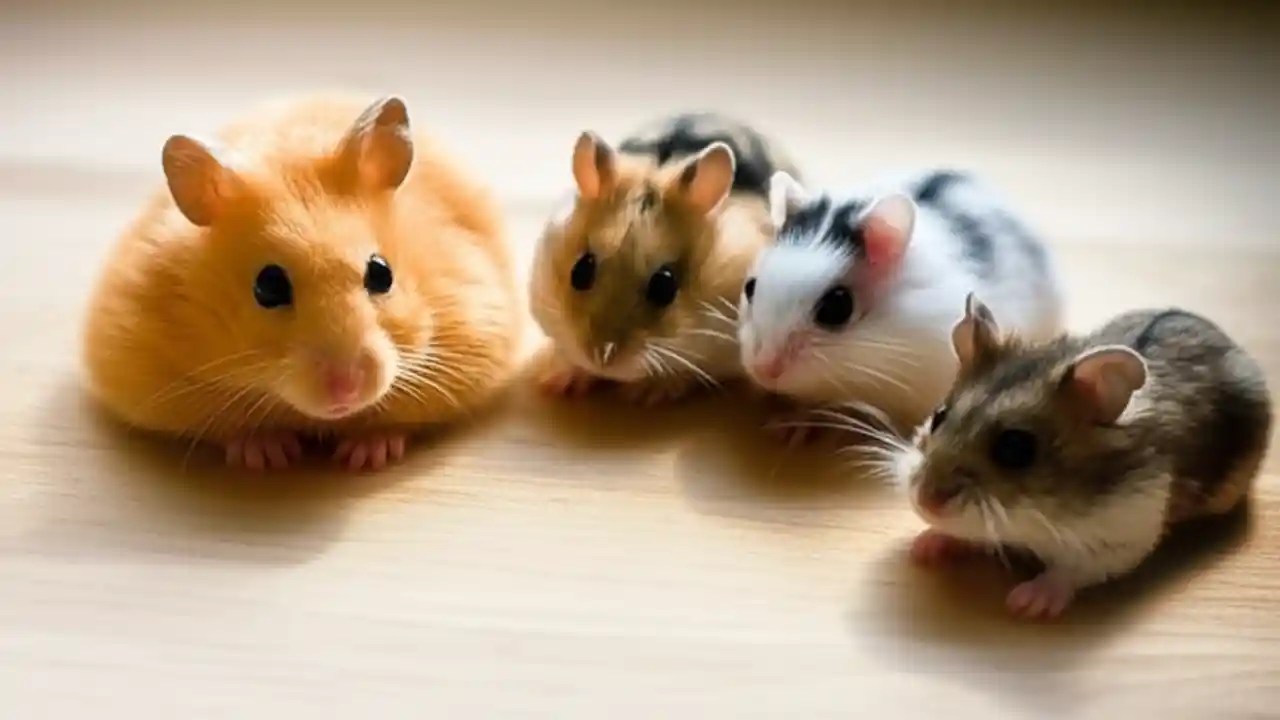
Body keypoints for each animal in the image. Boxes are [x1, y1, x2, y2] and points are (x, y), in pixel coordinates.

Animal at [83, 94, 519, 471]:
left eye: (382, 274)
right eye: (268, 287)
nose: (346, 390)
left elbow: (397, 420)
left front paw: (363, 455)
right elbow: (231, 428)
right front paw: (269, 455)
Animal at [894, 294, 1272, 619]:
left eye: (1015, 448)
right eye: (939, 416)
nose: (926, 502)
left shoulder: (1124, 533)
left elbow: (1071, 570)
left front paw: (1026, 603)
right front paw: (924, 547)